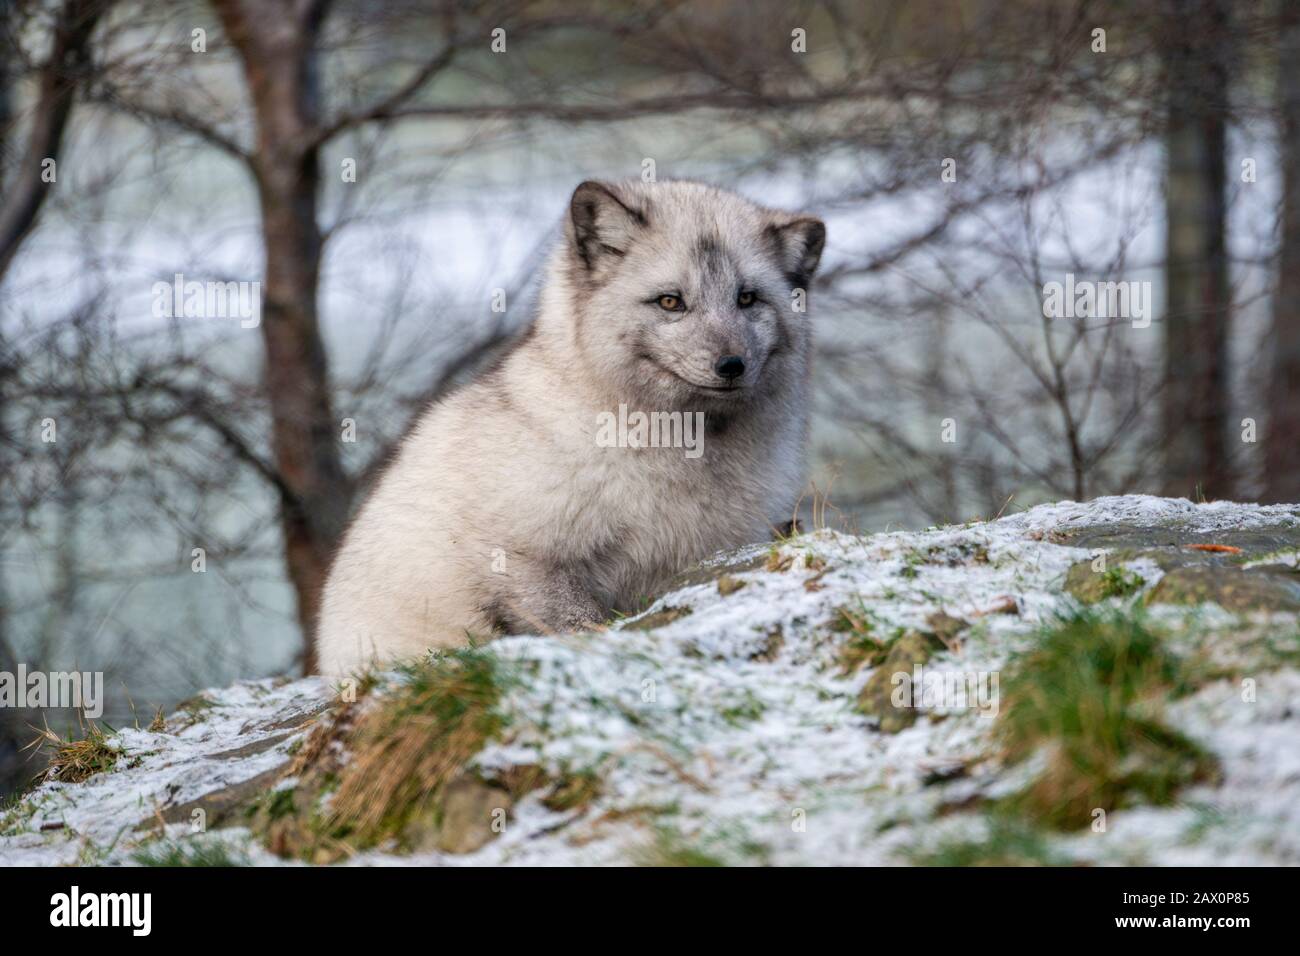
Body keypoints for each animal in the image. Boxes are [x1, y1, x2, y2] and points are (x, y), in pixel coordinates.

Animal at [317, 179, 826, 676]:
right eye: (670, 302)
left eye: (748, 298)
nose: (731, 366)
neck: (679, 445)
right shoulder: (521, 556)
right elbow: (577, 619)